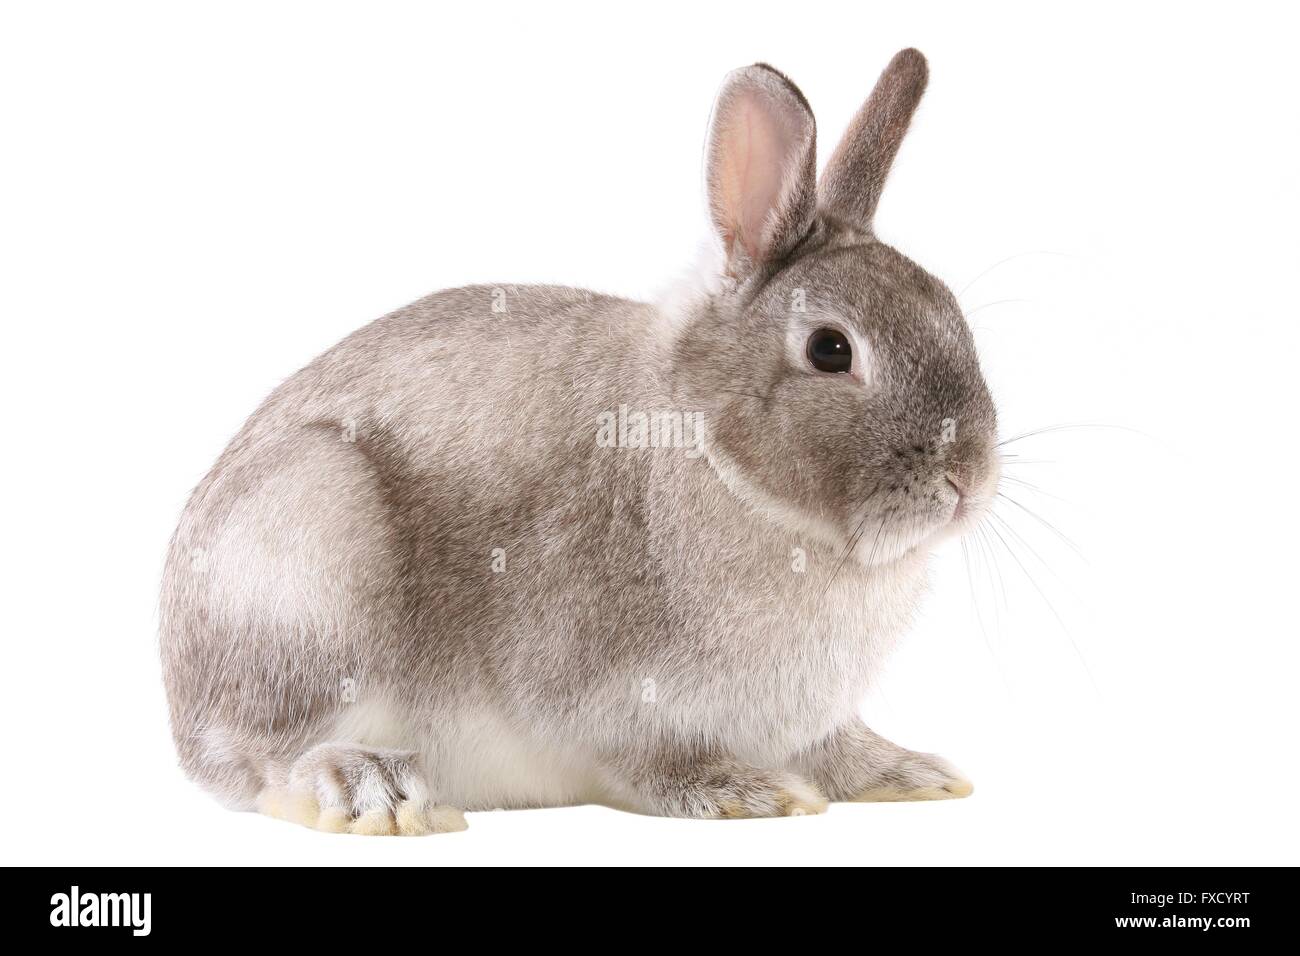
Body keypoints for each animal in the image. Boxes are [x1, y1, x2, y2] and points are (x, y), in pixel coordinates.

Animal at [160, 47, 1000, 835]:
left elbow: (837, 747)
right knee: (266, 761)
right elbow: (651, 762)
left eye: (951, 314)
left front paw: (910, 773)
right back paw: (372, 791)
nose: (969, 480)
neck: (717, 459)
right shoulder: (596, 696)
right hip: (313, 547)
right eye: (830, 350)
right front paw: (748, 793)